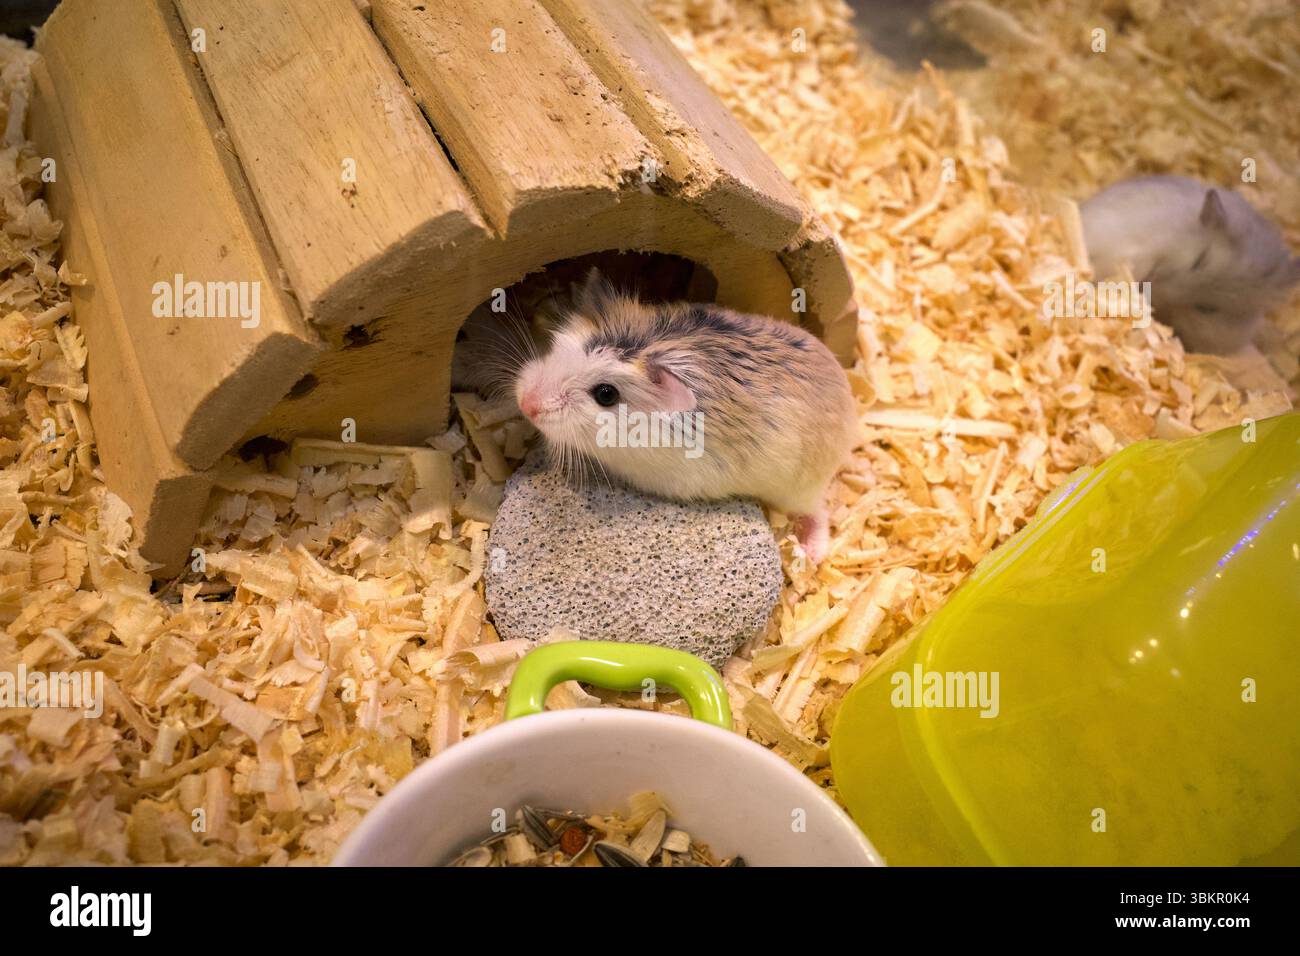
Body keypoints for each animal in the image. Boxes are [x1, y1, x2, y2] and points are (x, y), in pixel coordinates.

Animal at [514, 271, 858, 564]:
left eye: (606, 395)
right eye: (558, 347)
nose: (526, 404)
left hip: (798, 488)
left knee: (820, 513)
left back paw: (809, 555)